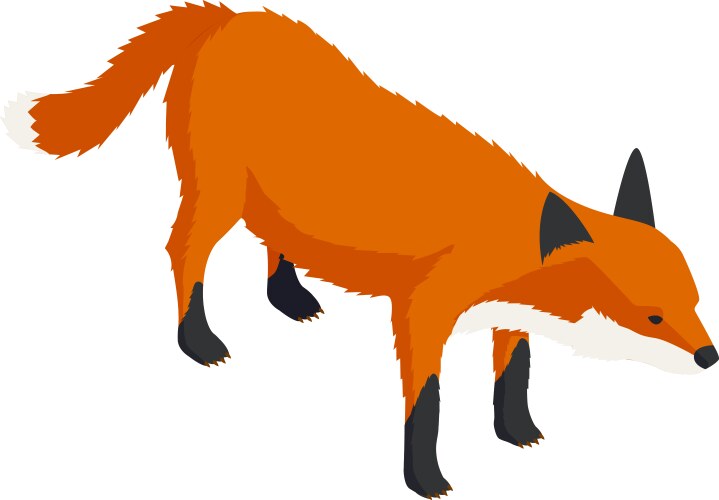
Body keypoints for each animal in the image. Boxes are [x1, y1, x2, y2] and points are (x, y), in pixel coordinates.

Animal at [4, 2, 715, 498]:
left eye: (696, 299)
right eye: (653, 315)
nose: (709, 356)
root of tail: (227, 15)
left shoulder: (507, 317)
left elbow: (515, 376)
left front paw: (518, 433)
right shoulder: (424, 309)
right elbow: (427, 404)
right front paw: (426, 479)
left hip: (270, 200)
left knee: (273, 243)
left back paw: (289, 297)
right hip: (219, 196)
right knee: (183, 251)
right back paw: (198, 340)